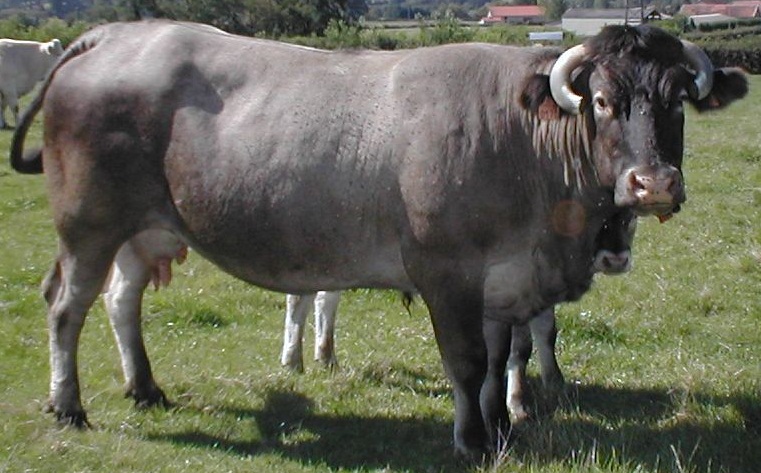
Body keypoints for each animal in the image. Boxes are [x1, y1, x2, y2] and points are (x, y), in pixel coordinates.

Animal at [280, 210, 638, 424]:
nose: (616, 258)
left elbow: (545, 332)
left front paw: (554, 382)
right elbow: (519, 348)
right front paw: (516, 403)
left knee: (326, 298)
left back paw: (326, 355)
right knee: (299, 298)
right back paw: (292, 359)